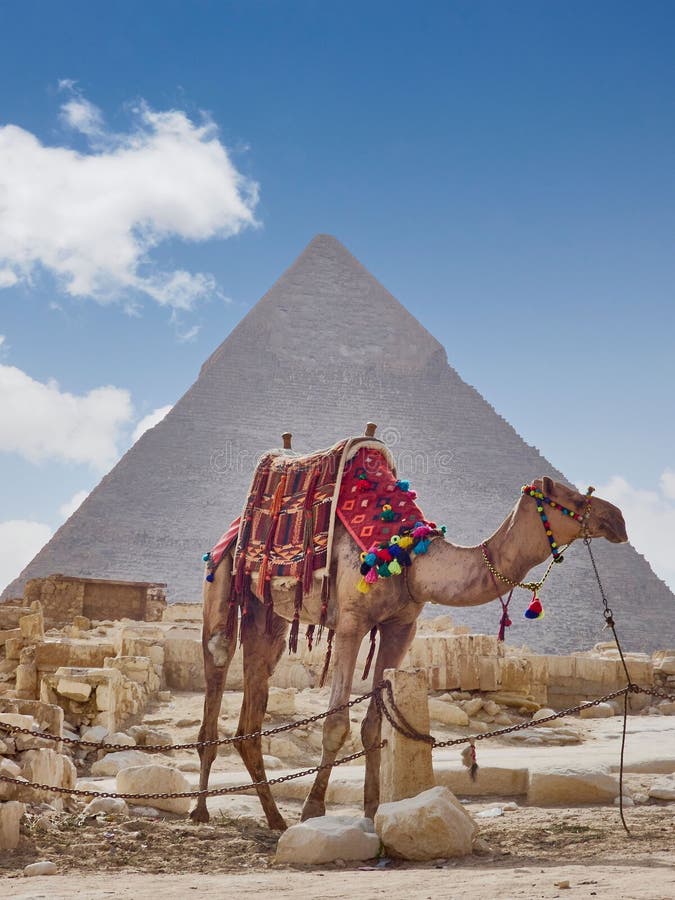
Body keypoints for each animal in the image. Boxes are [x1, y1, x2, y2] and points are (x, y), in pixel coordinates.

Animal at [190, 465, 627, 831]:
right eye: (574, 499)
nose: (618, 519)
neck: (409, 559)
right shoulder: (351, 623)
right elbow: (336, 724)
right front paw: (313, 809)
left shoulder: (401, 627)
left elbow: (372, 725)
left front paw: (373, 810)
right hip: (220, 581)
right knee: (218, 661)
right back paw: (201, 809)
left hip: (269, 617)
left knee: (252, 706)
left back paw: (275, 818)